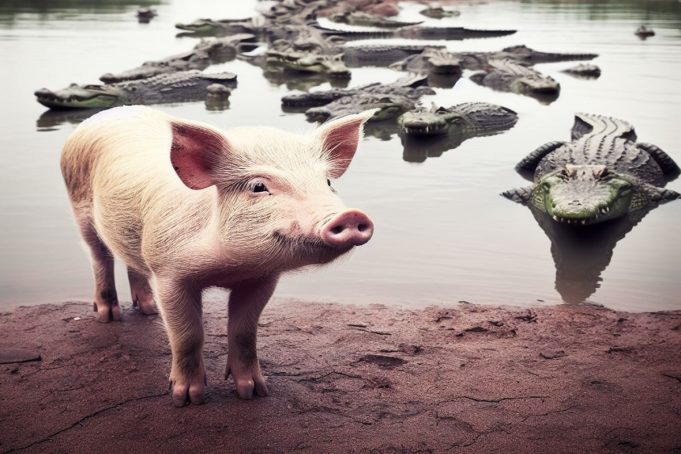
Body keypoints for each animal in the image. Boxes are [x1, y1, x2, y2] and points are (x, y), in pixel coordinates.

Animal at [60, 106, 374, 406]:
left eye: (328, 181)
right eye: (258, 186)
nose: (351, 215)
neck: (229, 268)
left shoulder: (261, 279)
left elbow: (244, 331)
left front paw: (254, 392)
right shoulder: (168, 272)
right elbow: (188, 335)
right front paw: (187, 399)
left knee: (130, 260)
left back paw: (149, 310)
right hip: (79, 205)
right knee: (99, 257)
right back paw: (108, 316)